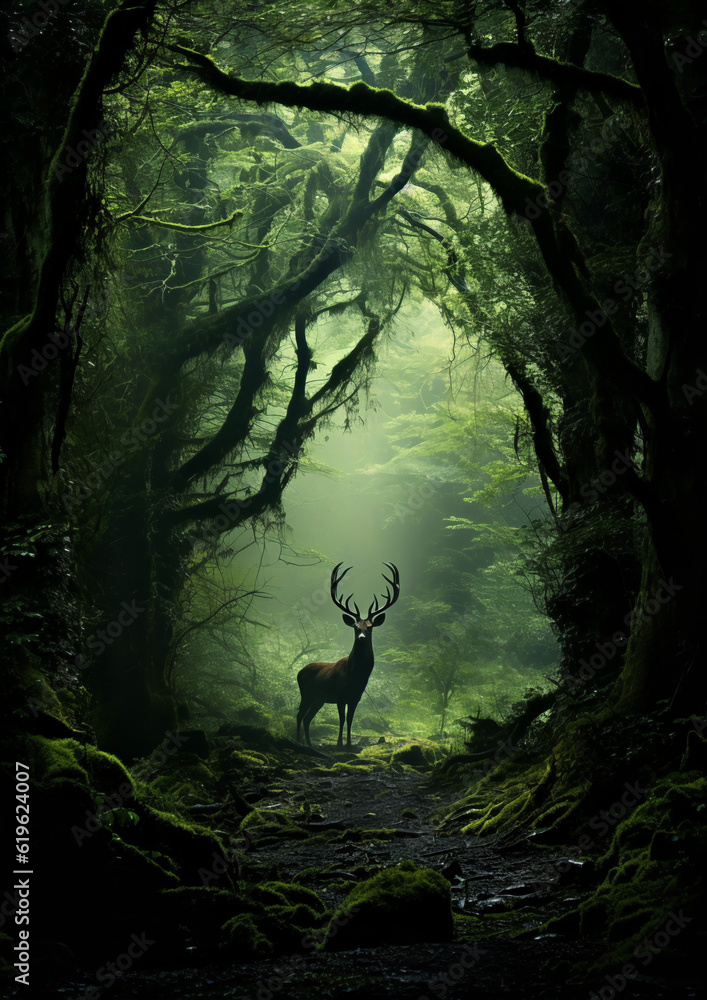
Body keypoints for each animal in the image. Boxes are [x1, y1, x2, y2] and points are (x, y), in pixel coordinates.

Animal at [296, 562, 400, 748]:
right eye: (356, 627)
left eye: (370, 627)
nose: (361, 637)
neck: (355, 676)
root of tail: (299, 672)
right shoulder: (340, 695)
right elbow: (342, 719)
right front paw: (339, 744)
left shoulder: (355, 697)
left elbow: (350, 720)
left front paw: (350, 744)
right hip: (306, 693)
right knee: (299, 715)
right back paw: (297, 740)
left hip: (318, 699)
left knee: (307, 718)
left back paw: (309, 743)